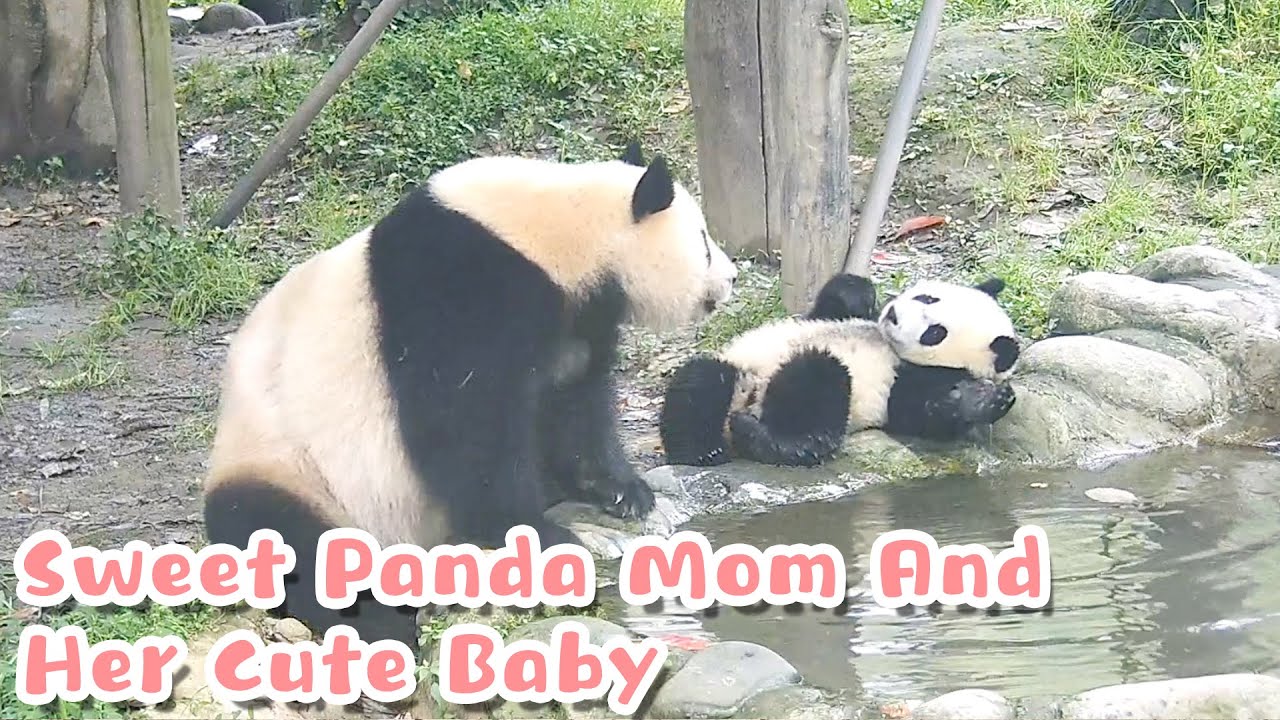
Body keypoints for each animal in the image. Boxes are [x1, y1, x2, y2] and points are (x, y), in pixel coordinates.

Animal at [201, 143, 738, 657]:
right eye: (704, 243)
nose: (733, 277)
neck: (558, 230)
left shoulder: (573, 319)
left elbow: (572, 404)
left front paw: (623, 492)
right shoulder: (459, 289)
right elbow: (467, 427)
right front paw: (533, 536)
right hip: (290, 467)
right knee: (290, 542)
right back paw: (384, 624)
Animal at [658, 272, 1020, 468]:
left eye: (935, 332)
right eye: (928, 298)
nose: (894, 315)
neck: (886, 342)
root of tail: (750, 400)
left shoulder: (912, 380)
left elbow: (924, 412)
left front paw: (983, 398)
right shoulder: (832, 316)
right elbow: (832, 304)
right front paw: (861, 292)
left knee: (819, 387)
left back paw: (759, 435)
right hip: (740, 369)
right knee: (701, 383)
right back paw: (701, 450)